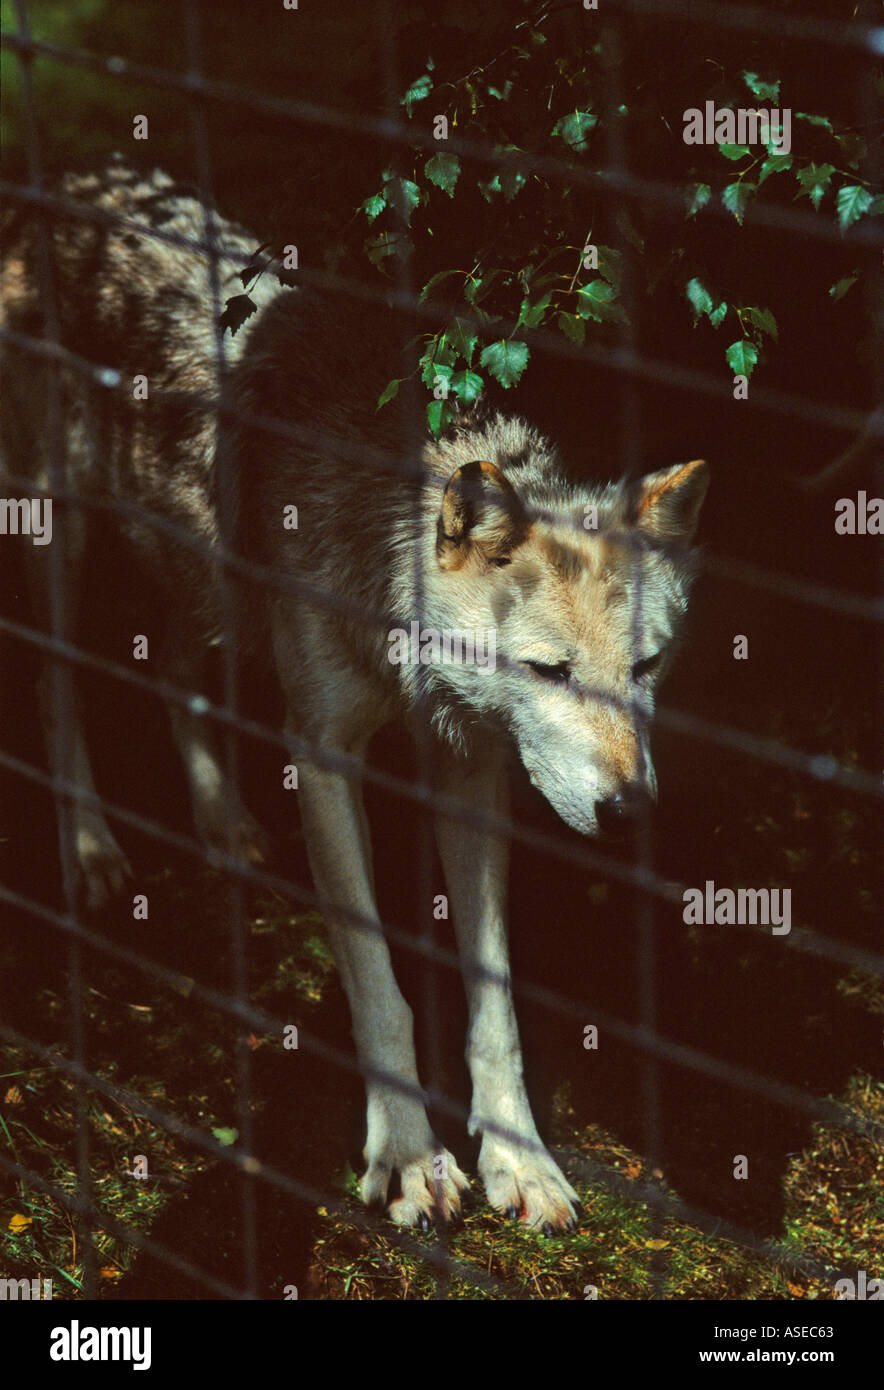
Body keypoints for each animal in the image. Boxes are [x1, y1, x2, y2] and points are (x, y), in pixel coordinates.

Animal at [0, 163, 708, 1233]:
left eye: (649, 668)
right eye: (547, 672)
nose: (632, 811)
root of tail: (69, 177)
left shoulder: (470, 769)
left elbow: (493, 1001)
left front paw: (518, 1158)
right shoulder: (325, 756)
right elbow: (381, 986)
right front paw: (409, 1159)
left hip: (195, 570)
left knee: (172, 669)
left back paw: (222, 825)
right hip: (64, 544)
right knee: (55, 685)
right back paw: (90, 852)